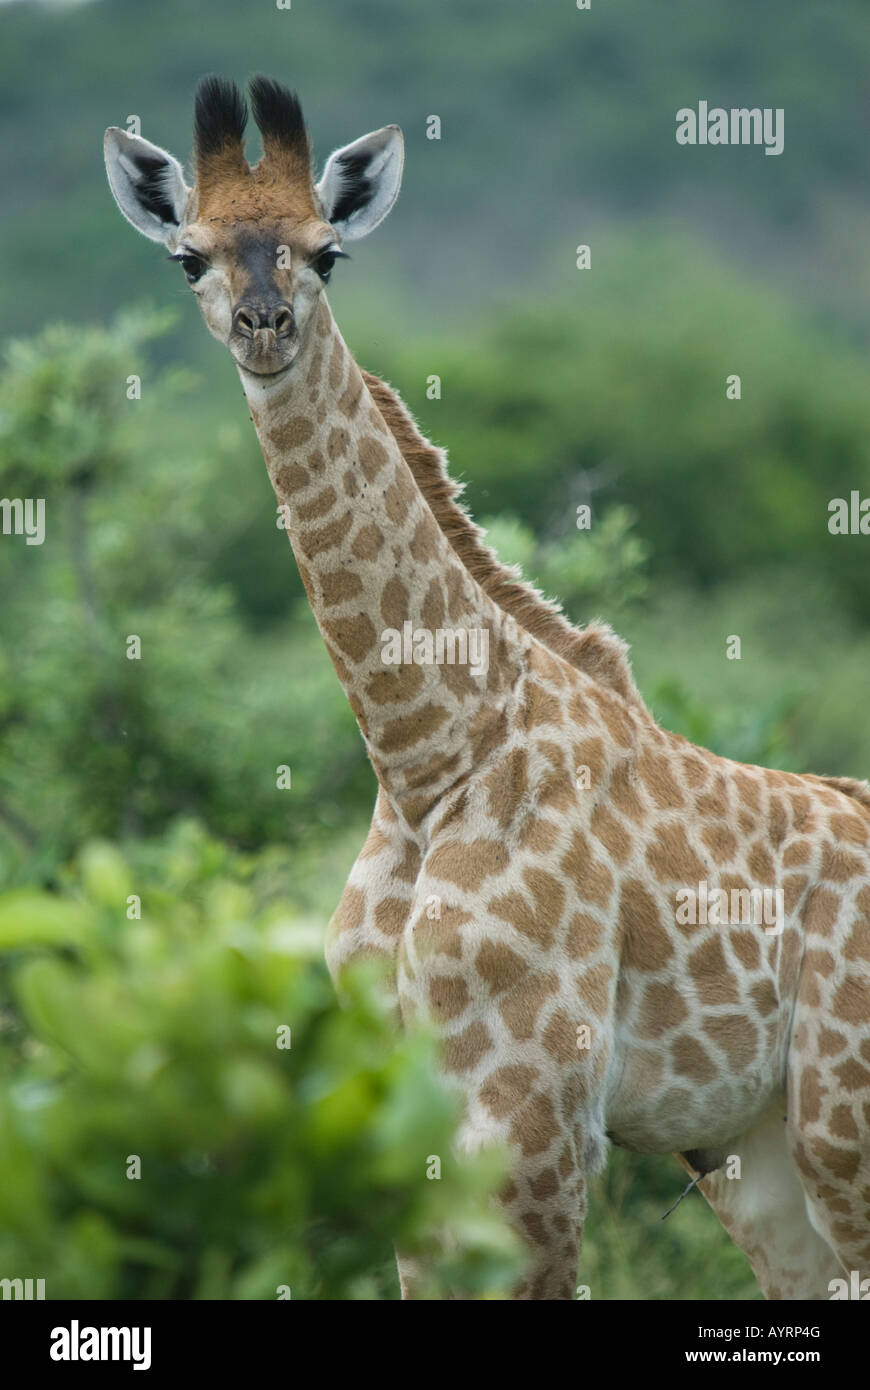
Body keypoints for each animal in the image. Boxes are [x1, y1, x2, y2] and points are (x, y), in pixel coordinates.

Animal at [105, 75, 870, 1301]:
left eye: (327, 254)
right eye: (190, 256)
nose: (264, 328)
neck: (429, 751)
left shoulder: (535, 1112)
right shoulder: (412, 1111)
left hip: (840, 1124)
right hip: (759, 1156)